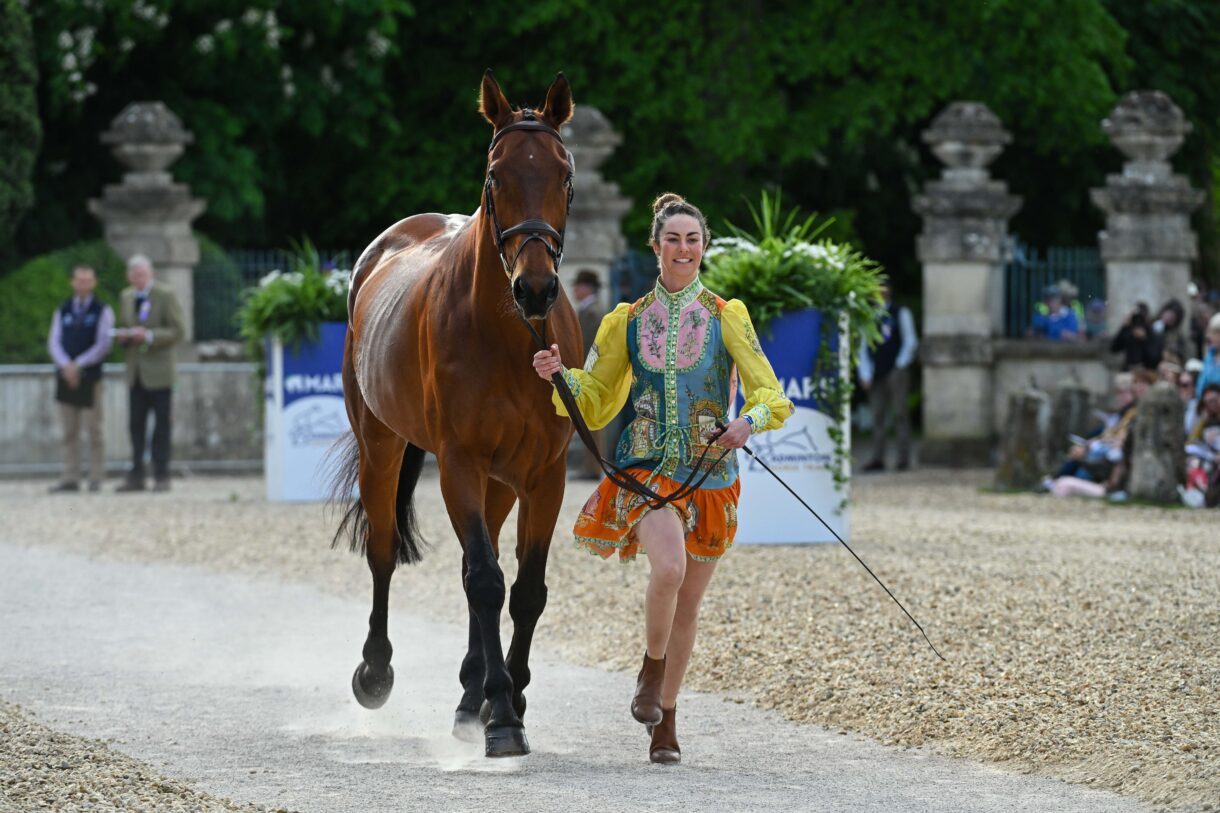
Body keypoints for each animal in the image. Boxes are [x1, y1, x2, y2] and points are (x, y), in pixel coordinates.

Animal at [331, 71, 582, 757]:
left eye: (565, 174)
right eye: (495, 175)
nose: (535, 288)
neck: (509, 336)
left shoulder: (544, 475)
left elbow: (524, 591)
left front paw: (506, 698)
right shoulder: (458, 465)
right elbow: (486, 582)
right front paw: (502, 716)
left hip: (500, 480)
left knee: (484, 563)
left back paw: (472, 695)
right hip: (382, 447)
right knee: (386, 552)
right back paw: (377, 673)